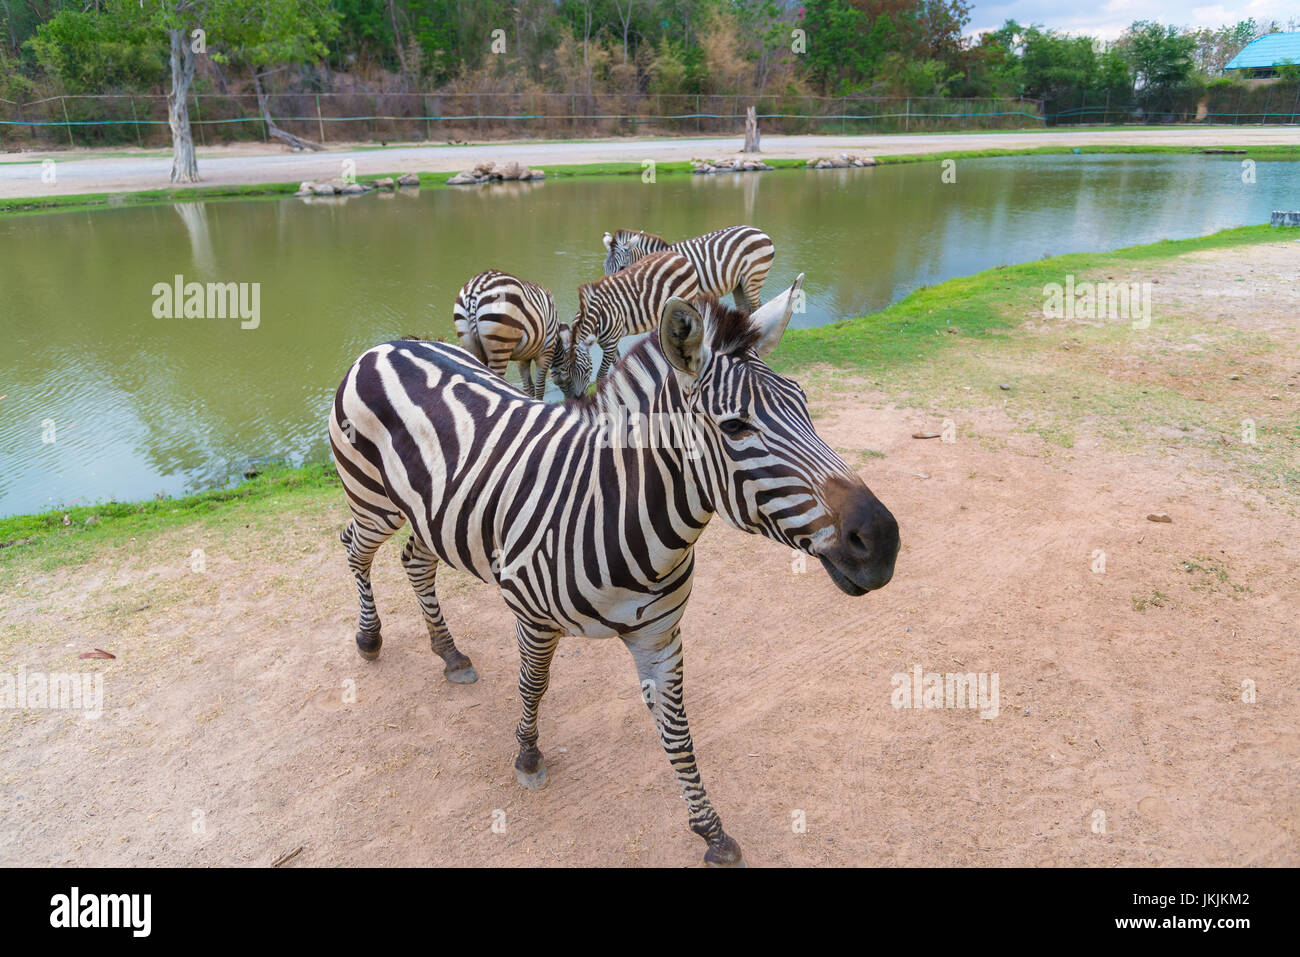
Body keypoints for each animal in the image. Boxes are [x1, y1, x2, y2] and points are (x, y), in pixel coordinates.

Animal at [452, 270, 559, 400]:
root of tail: (474, 289)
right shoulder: (546, 351)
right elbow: (540, 387)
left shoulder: (524, 357)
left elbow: (529, 387)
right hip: (500, 346)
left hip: (469, 343)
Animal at [550, 248, 699, 396]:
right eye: (568, 374)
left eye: (587, 371)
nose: (580, 398)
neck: (598, 317)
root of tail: (677, 255)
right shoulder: (607, 342)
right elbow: (618, 364)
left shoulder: (611, 342)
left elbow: (601, 374)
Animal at [602, 224, 775, 314]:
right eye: (604, 267)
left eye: (622, 267)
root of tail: (758, 230)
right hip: (739, 283)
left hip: (754, 276)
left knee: (757, 306)